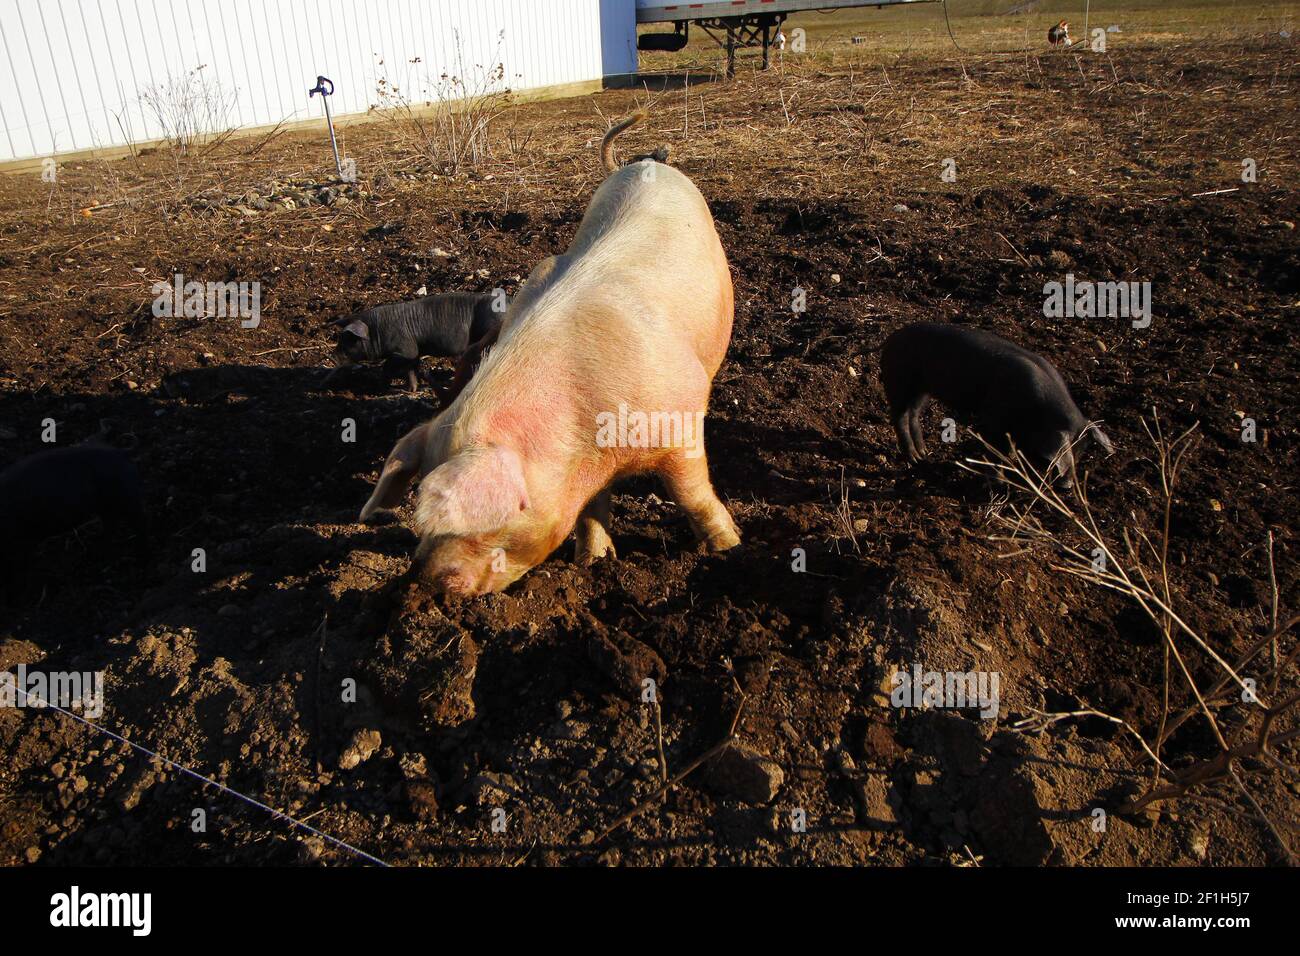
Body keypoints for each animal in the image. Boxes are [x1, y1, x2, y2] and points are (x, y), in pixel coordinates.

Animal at [329, 292, 508, 392]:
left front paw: (385, 385)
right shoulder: (413, 352)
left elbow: (388, 366)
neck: (376, 331)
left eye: (350, 340)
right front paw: (412, 389)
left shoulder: (405, 350)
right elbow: (411, 369)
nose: (332, 356)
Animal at [358, 111, 740, 596]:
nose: (425, 582)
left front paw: (730, 547)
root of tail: (638, 164)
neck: (589, 441)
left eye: (467, 523)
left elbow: (691, 493)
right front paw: (593, 562)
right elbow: (591, 509)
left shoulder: (681, 419)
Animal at [878, 322, 1113, 481]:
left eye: (1080, 452)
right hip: (899, 381)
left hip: (922, 390)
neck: (1038, 413)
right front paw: (999, 479)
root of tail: (890, 338)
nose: (1067, 486)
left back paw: (923, 454)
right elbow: (996, 449)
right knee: (899, 417)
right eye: (1057, 455)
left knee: (913, 415)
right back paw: (914, 458)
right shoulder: (992, 417)